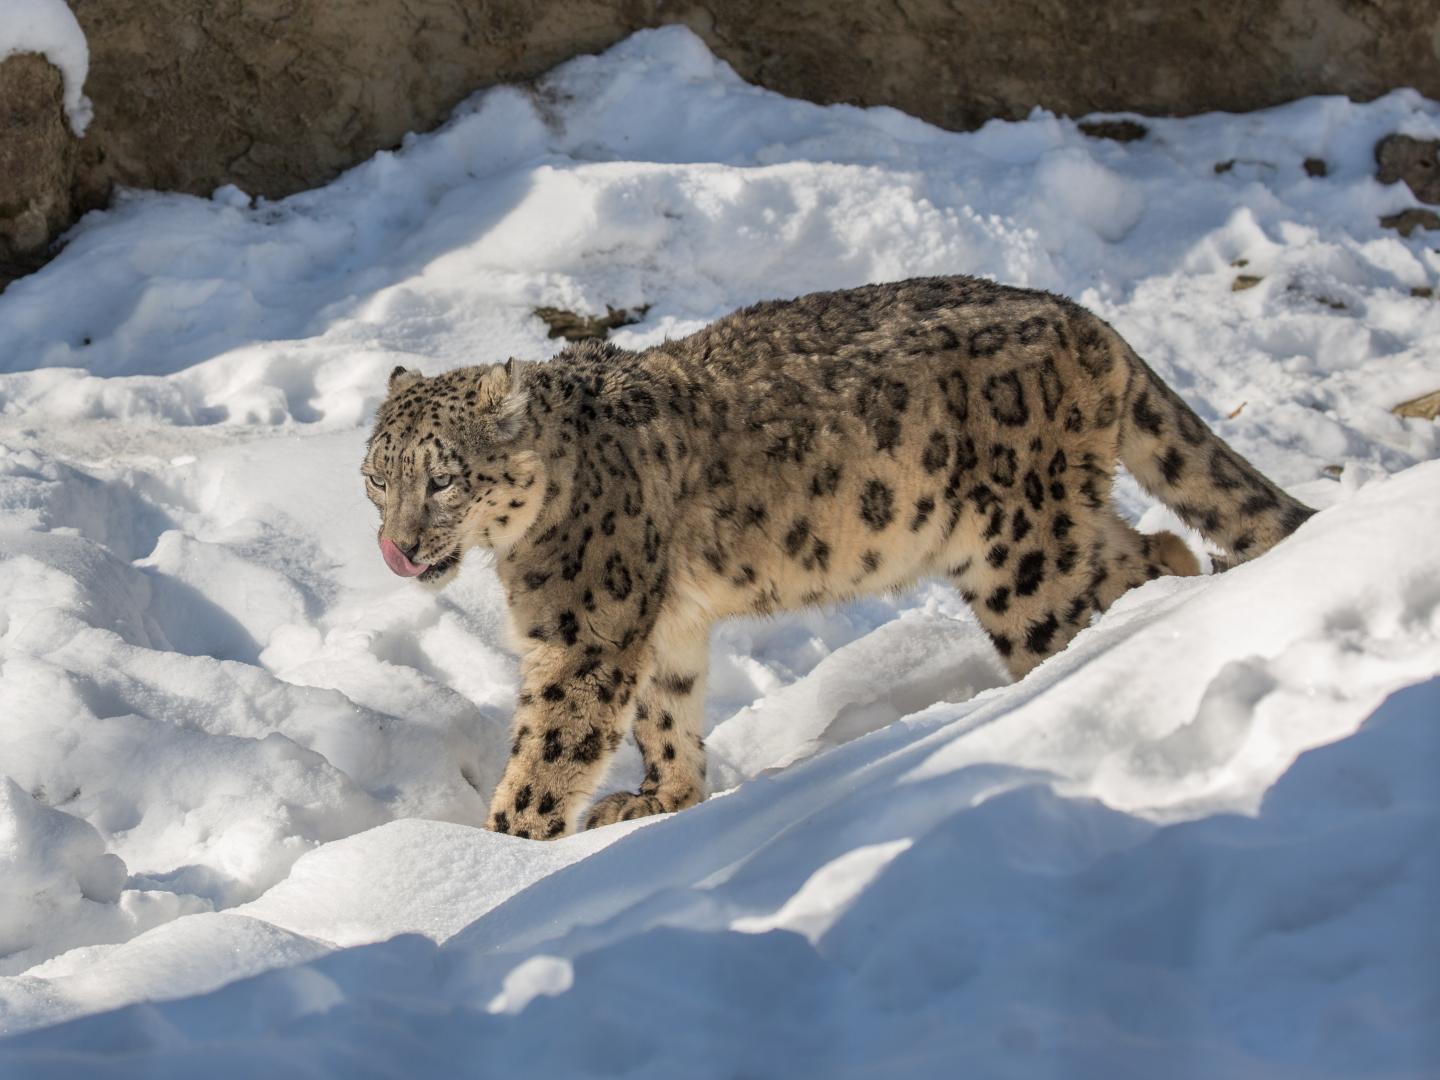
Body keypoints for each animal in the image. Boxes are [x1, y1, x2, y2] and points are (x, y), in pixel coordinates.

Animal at [361, 275, 1314, 839]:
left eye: (442, 479)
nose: (398, 549)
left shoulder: (584, 630)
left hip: (1019, 552)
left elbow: (552, 743)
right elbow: (667, 711)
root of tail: (1084, 319)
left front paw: (510, 847)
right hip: (1054, 525)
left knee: (1073, 618)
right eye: (375, 477)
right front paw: (661, 800)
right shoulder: (663, 622)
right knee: (1154, 547)